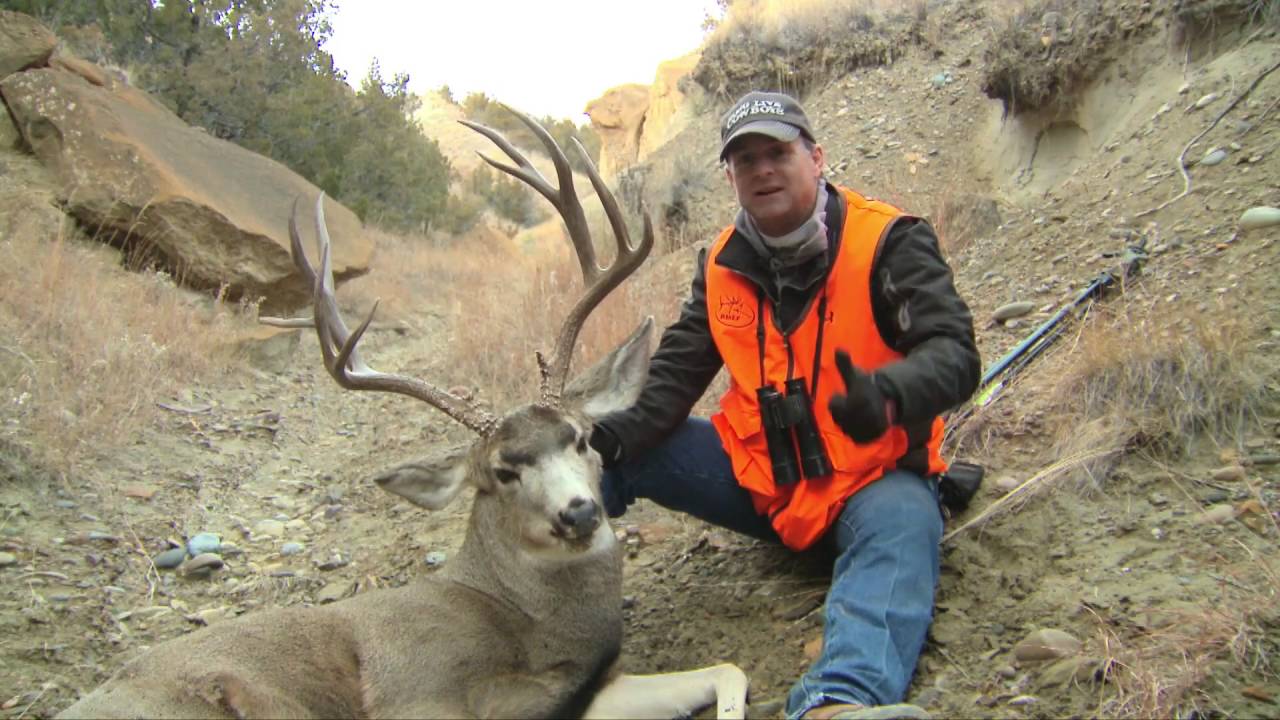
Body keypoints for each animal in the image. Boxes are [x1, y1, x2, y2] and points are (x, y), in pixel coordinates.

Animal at [57, 107, 749, 719]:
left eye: (580, 438)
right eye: (502, 472)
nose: (577, 511)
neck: (524, 628)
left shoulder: (589, 690)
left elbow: (728, 671)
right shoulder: (416, 687)